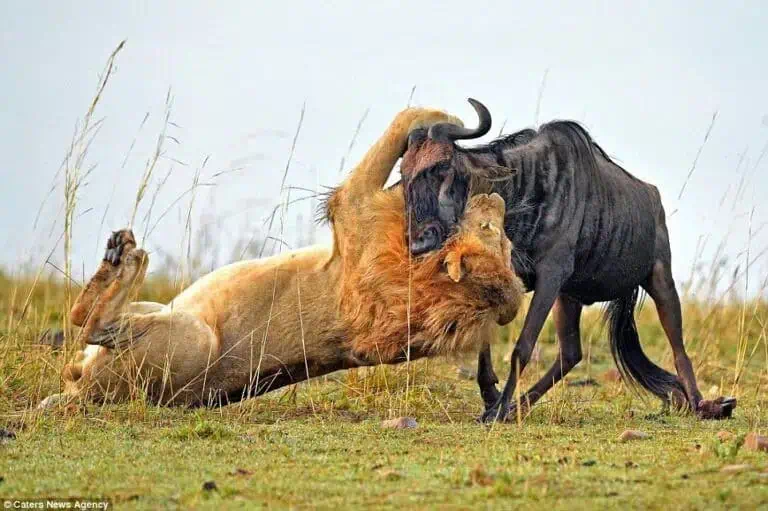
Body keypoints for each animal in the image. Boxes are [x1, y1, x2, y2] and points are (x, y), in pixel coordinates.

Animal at [39, 107, 524, 409]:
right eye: (500, 240)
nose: (497, 200)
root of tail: (84, 395)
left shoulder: (353, 206)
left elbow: (407, 114)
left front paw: (448, 123)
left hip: (193, 337)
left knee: (90, 322)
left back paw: (126, 258)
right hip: (157, 309)